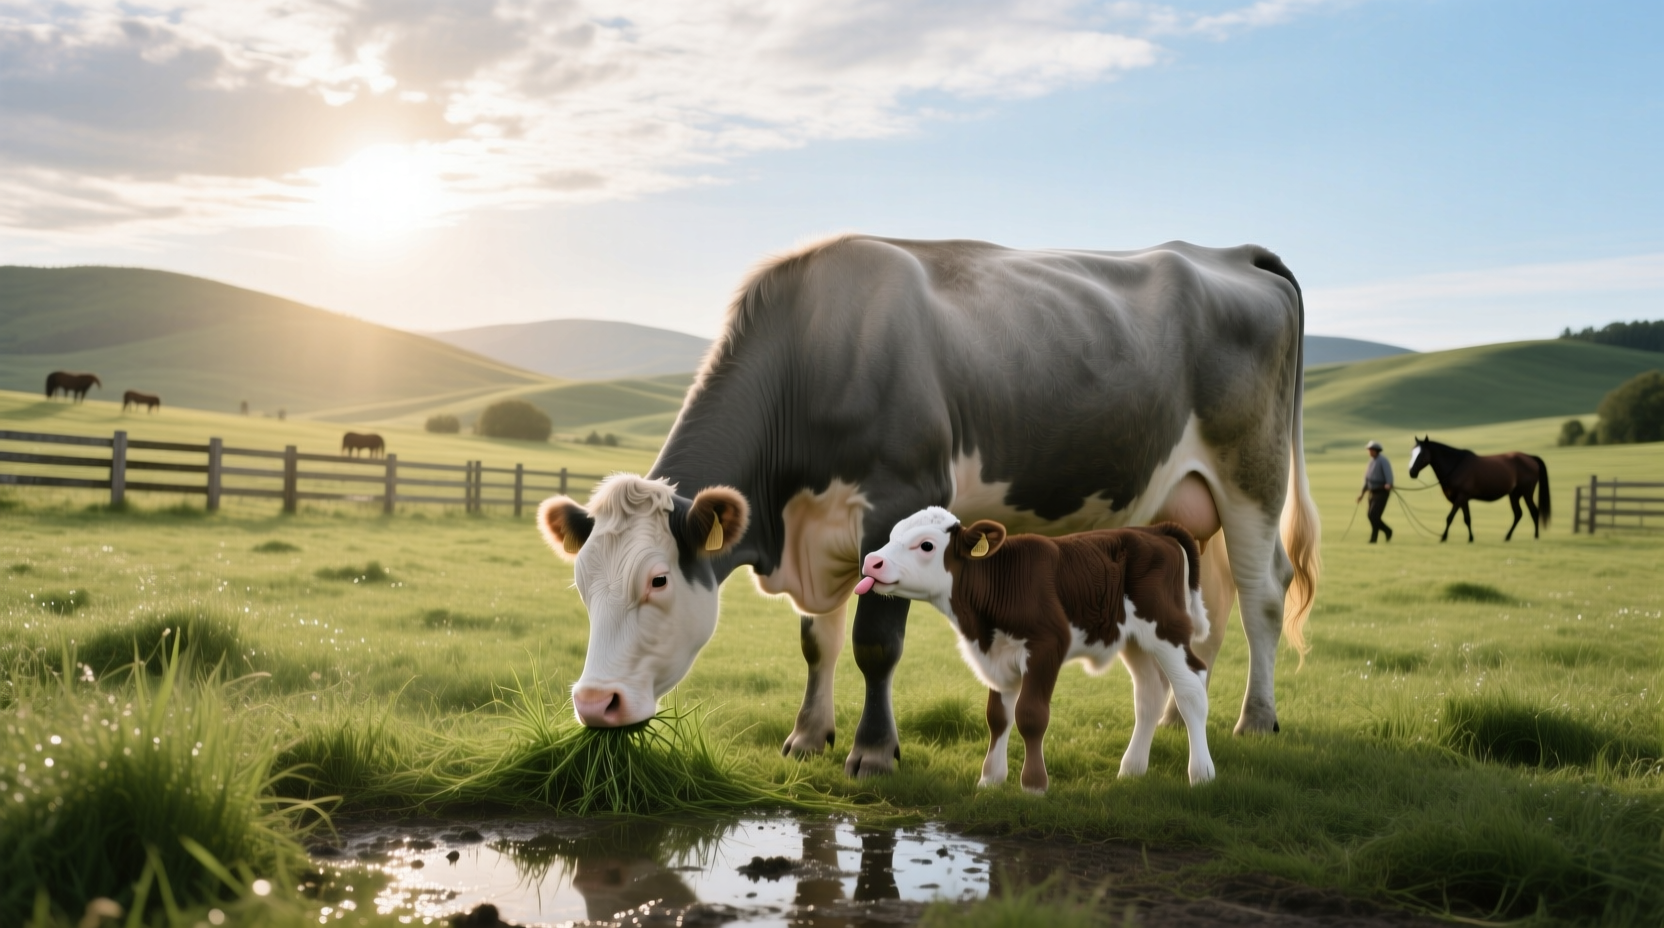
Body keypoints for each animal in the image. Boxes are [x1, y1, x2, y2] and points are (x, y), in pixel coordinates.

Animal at [855, 510, 1213, 793]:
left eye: (926, 545)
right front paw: (990, 780)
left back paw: (1202, 775)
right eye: (892, 535)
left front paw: (1033, 786)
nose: (872, 561)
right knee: (1150, 693)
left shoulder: (1046, 646)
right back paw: (1131, 770)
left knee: (1191, 687)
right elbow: (997, 717)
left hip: (1166, 628)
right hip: (1136, 641)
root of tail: (1153, 530)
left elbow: (1031, 715)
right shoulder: (998, 657)